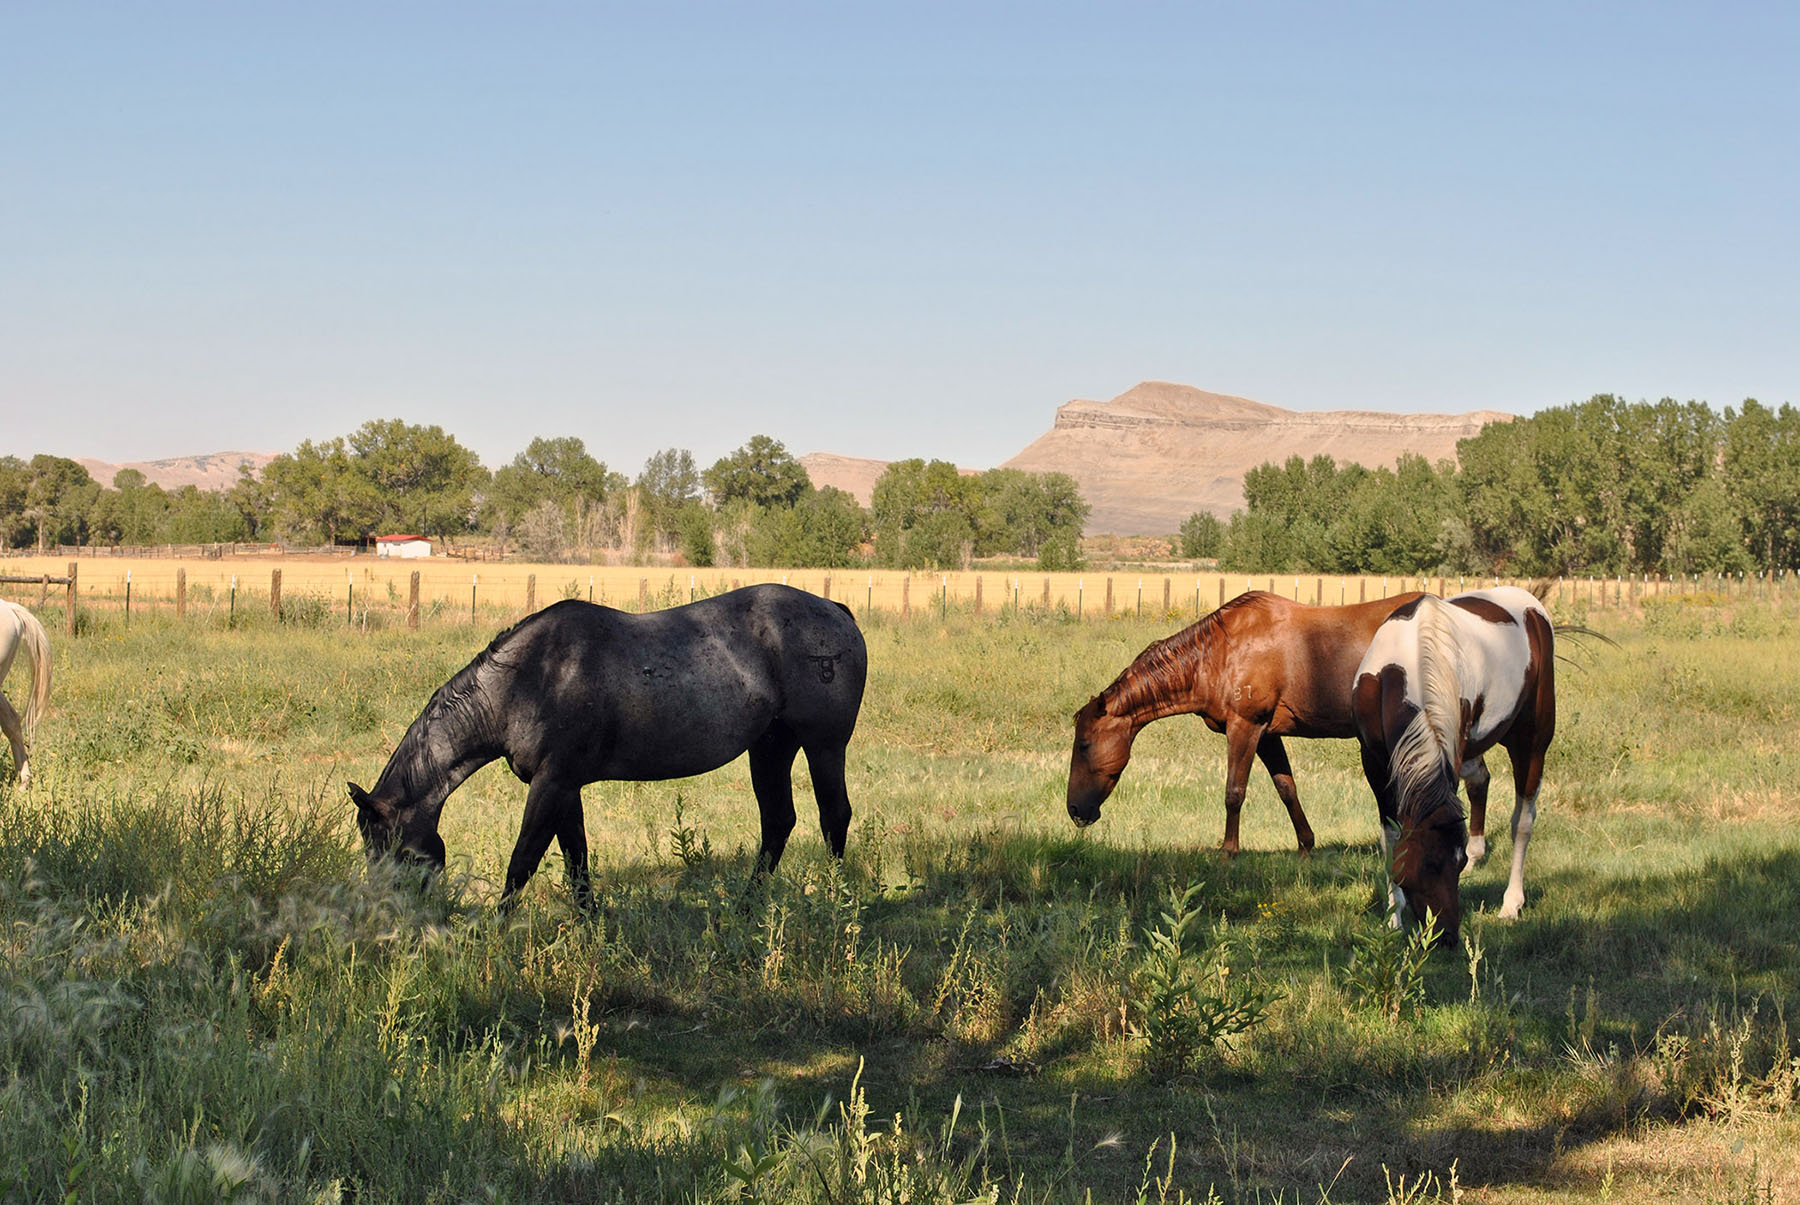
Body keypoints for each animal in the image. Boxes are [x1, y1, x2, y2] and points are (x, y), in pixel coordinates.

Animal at [349, 584, 868, 907]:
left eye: (391, 851)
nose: (389, 916)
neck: (527, 680)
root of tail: (834, 609)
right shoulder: (564, 788)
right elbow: (575, 860)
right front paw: (590, 930)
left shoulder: (551, 784)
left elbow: (523, 861)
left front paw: (495, 937)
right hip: (770, 749)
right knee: (778, 822)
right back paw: (746, 908)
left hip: (825, 746)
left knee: (834, 817)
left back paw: (835, 905)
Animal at [1066, 590, 1425, 853]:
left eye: (1084, 744)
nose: (1075, 810)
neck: (1219, 653)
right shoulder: (1267, 735)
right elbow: (1286, 788)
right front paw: (1305, 846)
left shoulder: (1245, 727)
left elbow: (1234, 792)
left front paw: (1228, 851)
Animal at [1351, 586, 1555, 945]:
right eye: (1426, 867)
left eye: (1455, 866)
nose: (1447, 936)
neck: (1409, 662)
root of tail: (1533, 607)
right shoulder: (1374, 762)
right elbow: (1390, 836)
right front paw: (1393, 918)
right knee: (1481, 781)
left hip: (1531, 742)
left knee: (1523, 821)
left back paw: (1511, 904)